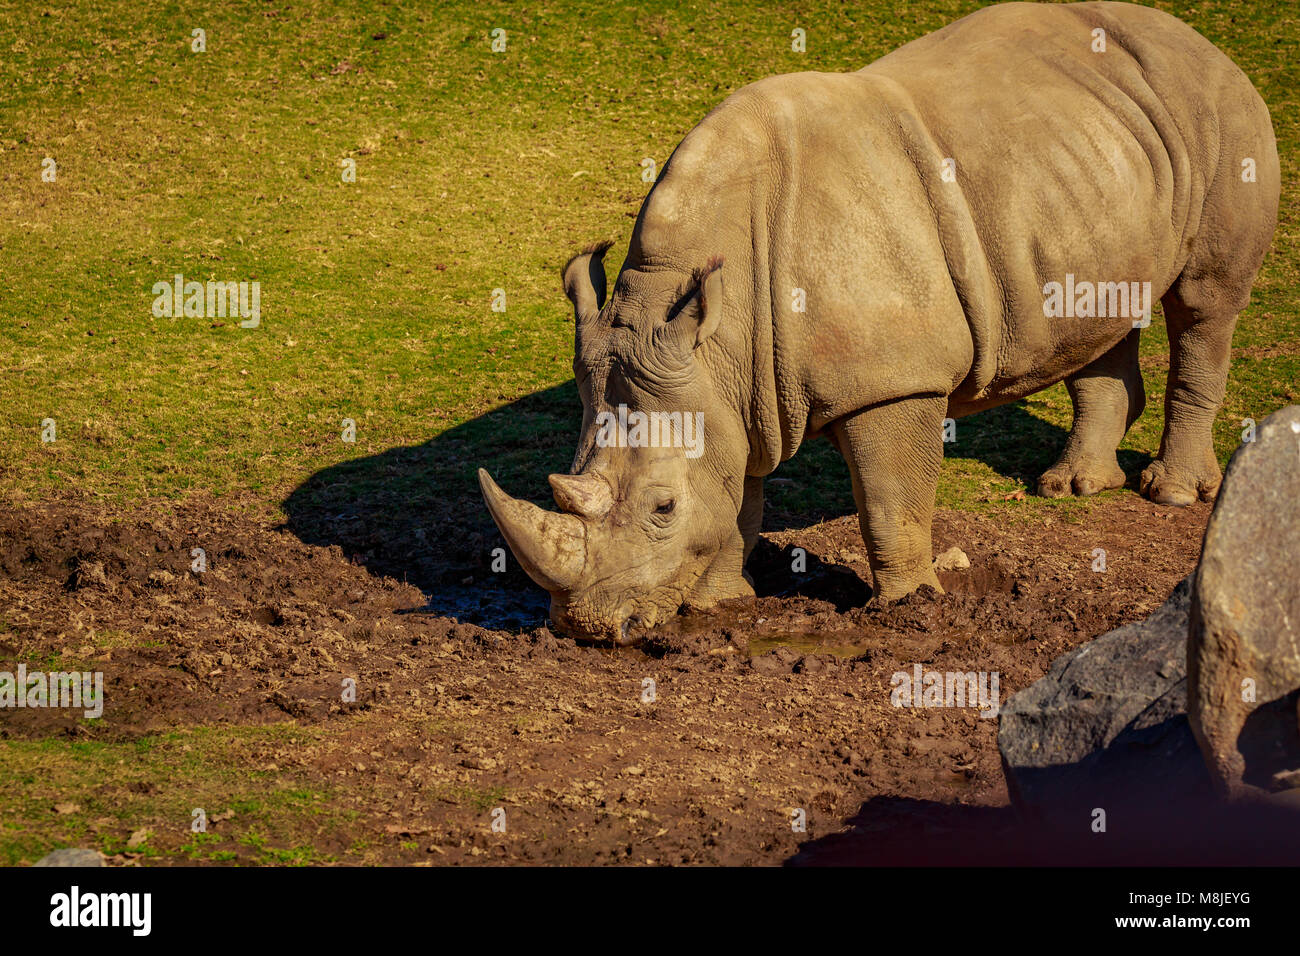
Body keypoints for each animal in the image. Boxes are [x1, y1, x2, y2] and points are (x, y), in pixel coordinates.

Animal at [479, 1, 1280, 644]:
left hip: (1219, 113)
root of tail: (1200, 40)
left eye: (662, 508)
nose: (587, 628)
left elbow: (892, 497)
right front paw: (720, 606)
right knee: (1100, 308)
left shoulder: (895, 381)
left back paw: (1170, 494)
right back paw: (1071, 488)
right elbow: (739, 493)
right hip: (1097, 151)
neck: (718, 335)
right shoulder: (730, 385)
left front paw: (907, 607)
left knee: (1204, 305)